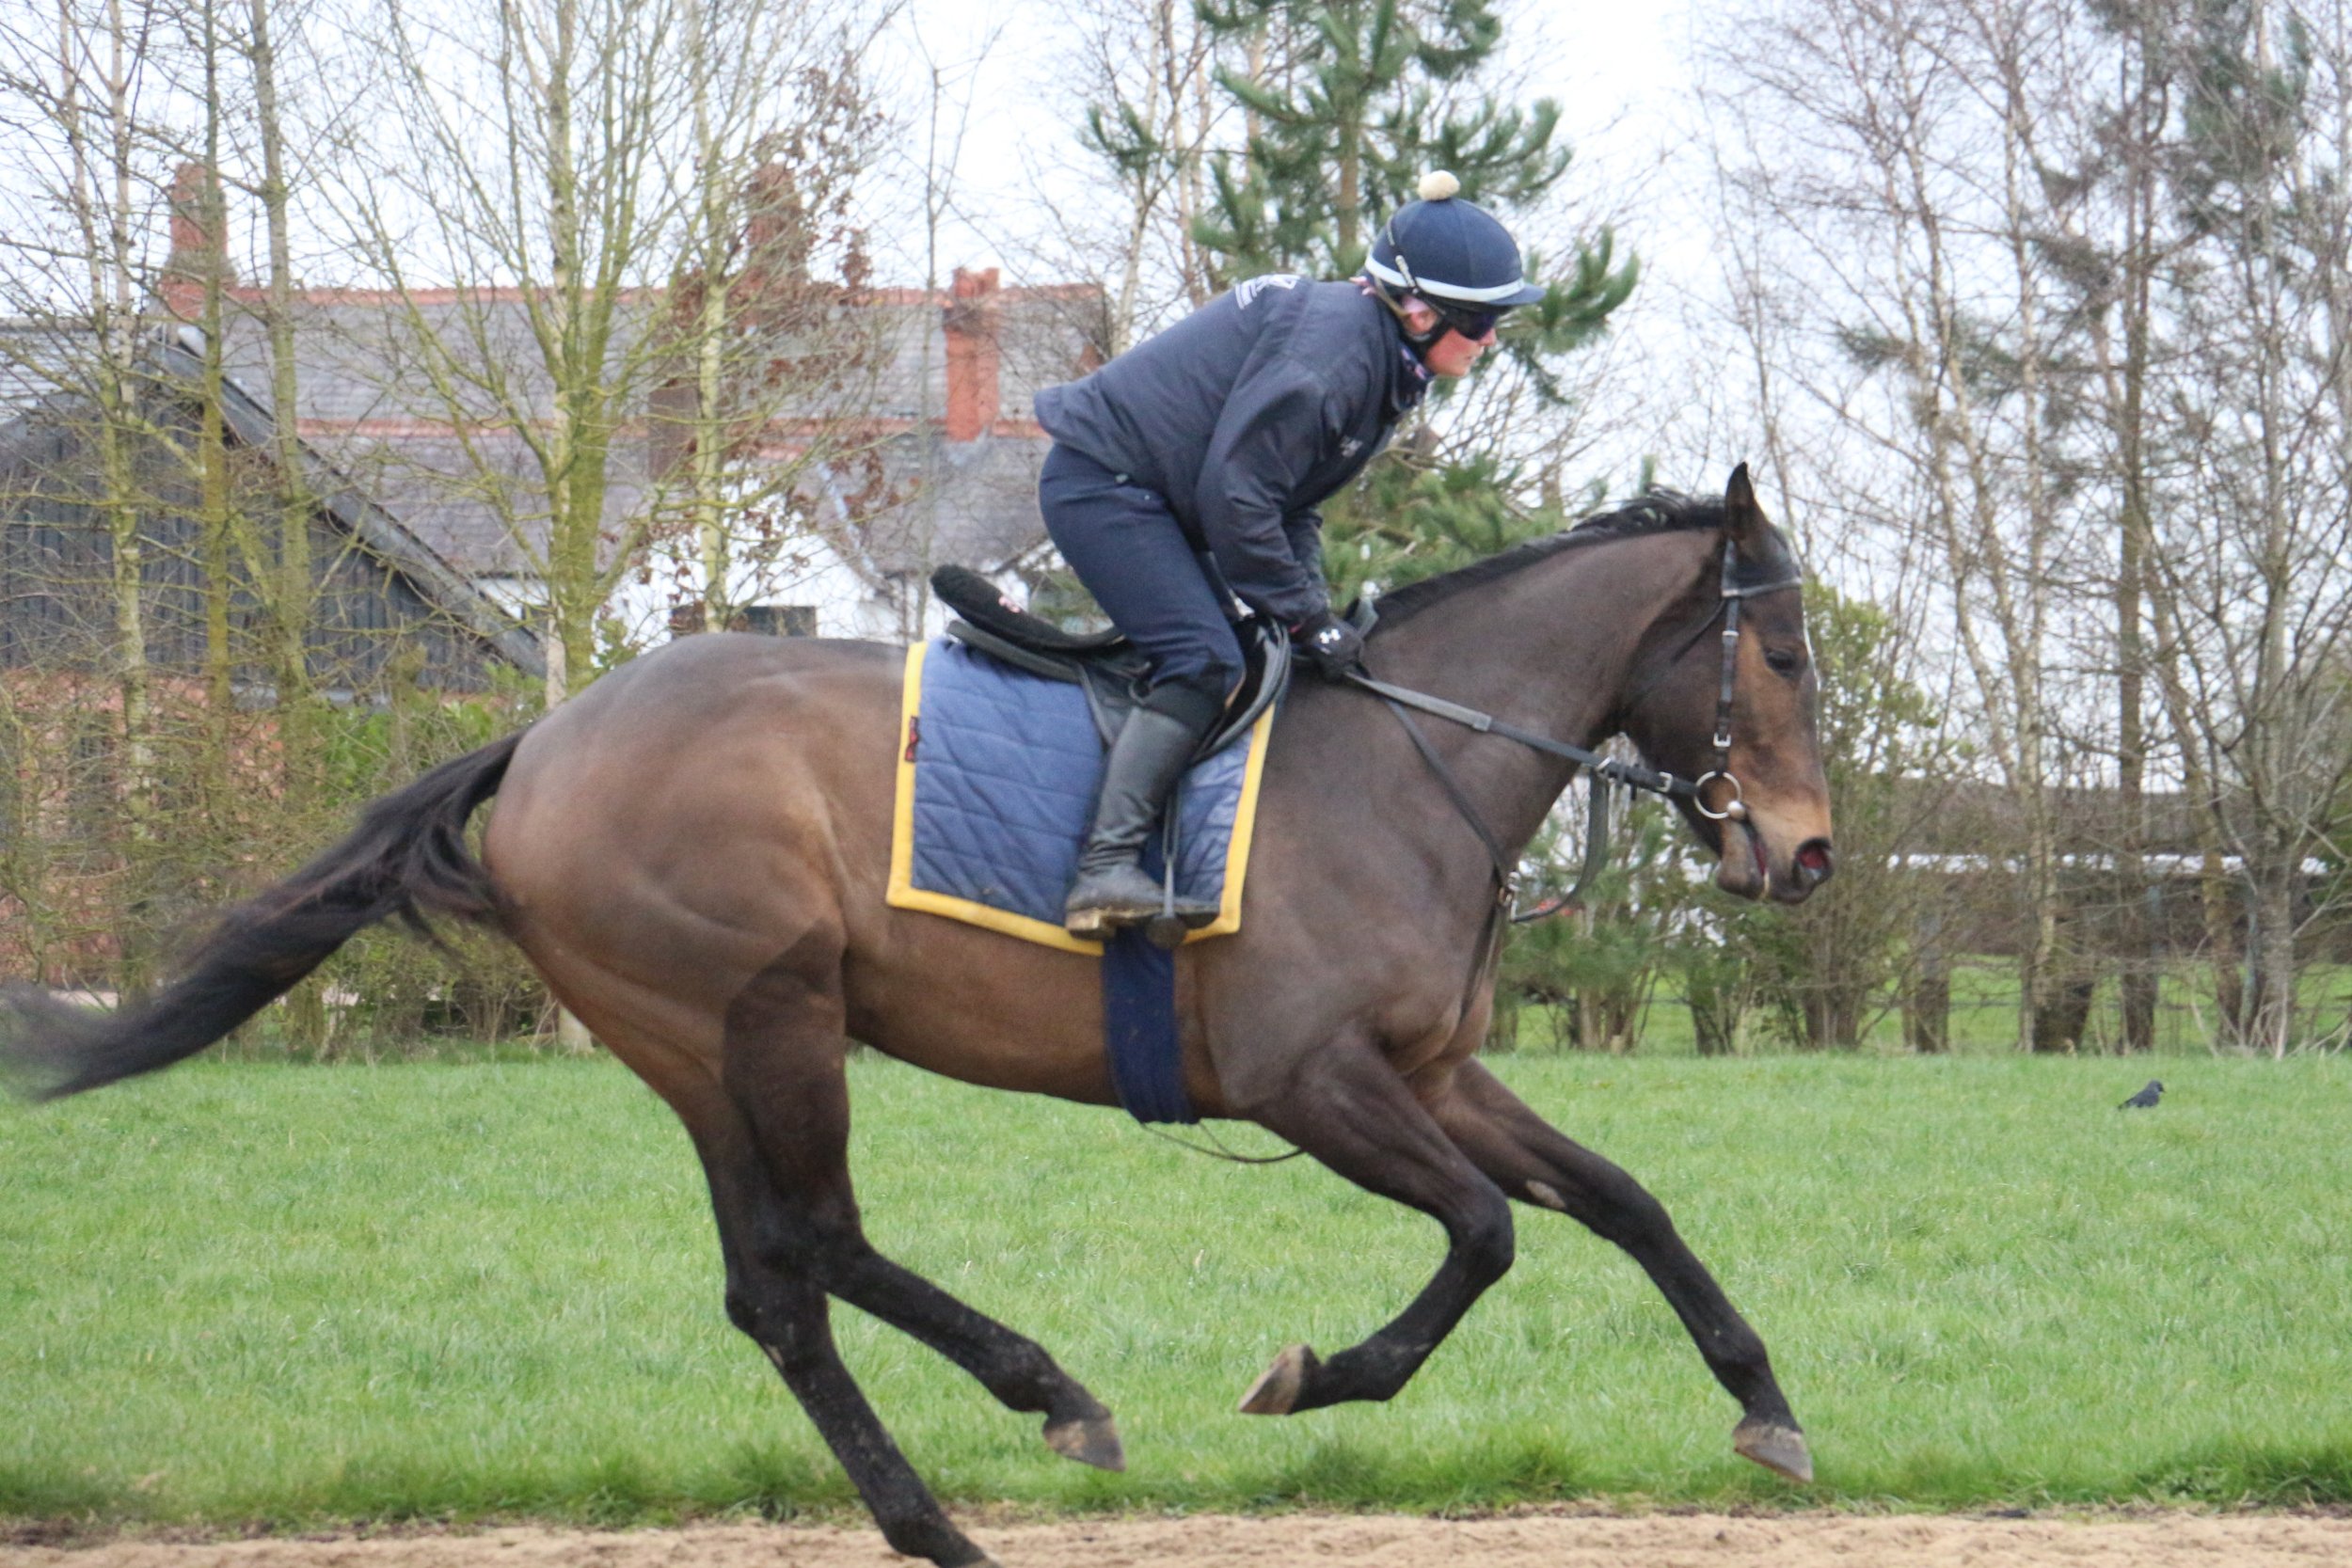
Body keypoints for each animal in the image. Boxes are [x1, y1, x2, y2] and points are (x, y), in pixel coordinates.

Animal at [2, 466, 1834, 1568]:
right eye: (1791, 654)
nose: (1809, 854)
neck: (1404, 762)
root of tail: (542, 742)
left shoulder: (1429, 1068)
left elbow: (1619, 1200)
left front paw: (1767, 1401)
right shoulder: (1308, 1079)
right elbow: (1483, 1234)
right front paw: (1315, 1375)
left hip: (697, 1047)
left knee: (775, 1287)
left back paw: (949, 1503)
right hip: (766, 1012)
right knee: (815, 1248)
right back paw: (1038, 1406)